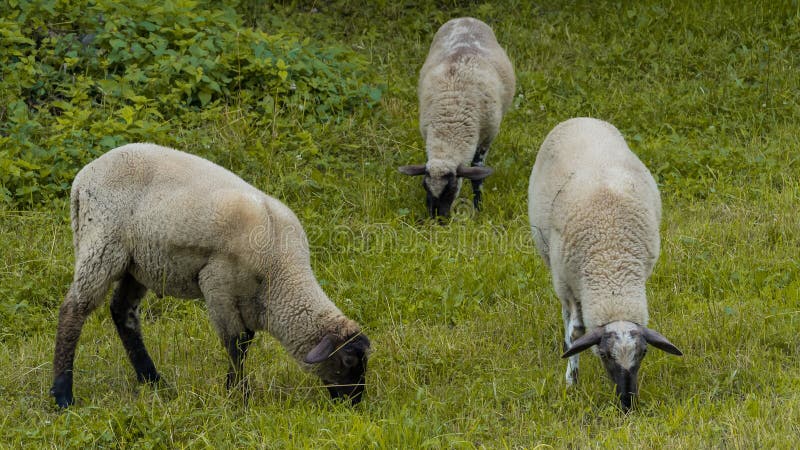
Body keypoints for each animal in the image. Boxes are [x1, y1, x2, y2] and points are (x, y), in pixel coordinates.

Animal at [50, 143, 371, 408]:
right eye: (348, 360)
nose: (354, 404)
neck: (280, 275)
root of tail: (84, 177)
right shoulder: (218, 284)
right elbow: (238, 342)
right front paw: (238, 396)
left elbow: (245, 340)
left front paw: (235, 390)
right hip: (103, 244)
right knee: (73, 310)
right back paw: (63, 395)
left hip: (137, 262)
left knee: (122, 312)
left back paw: (154, 381)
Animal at [399, 17, 515, 218]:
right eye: (425, 187)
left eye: (451, 188)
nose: (437, 219)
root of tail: (466, 18)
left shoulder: (486, 138)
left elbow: (477, 173)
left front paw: (478, 207)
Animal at [527, 118, 682, 411]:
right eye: (604, 355)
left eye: (643, 353)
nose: (627, 403)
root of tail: (581, 118)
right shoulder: (569, 282)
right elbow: (576, 333)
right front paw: (571, 379)